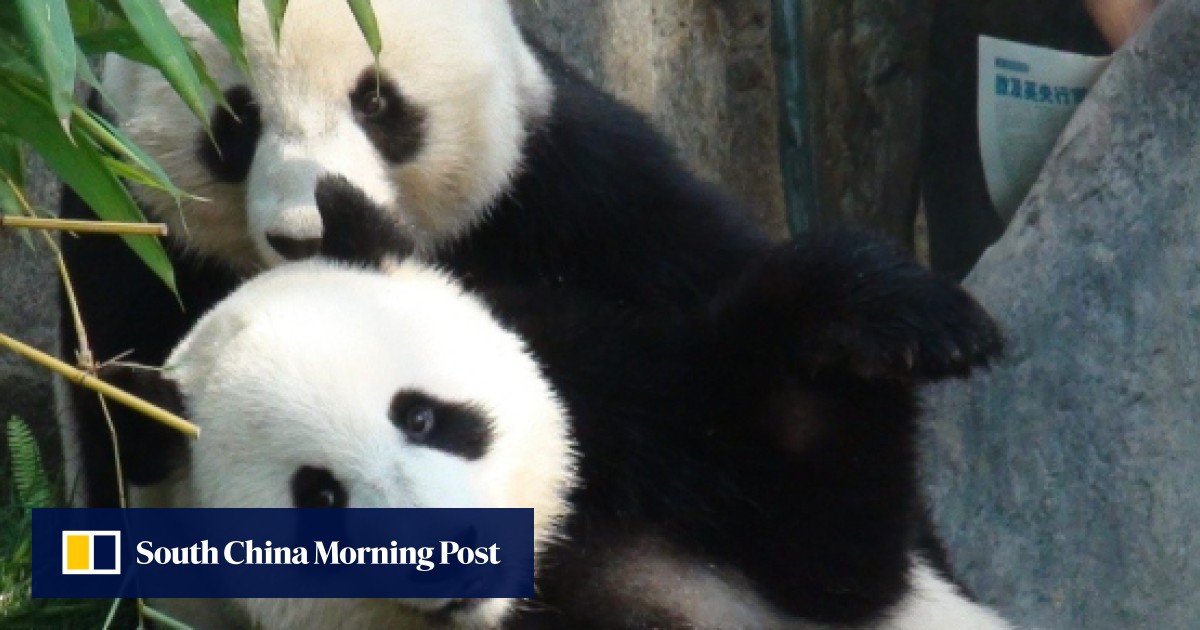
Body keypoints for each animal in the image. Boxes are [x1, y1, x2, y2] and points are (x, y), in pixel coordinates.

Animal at [105, 188, 1019, 629]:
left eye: (421, 417)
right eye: (319, 496)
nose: (450, 555)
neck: (537, 587)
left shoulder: (605, 395)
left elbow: (834, 550)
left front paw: (896, 318)